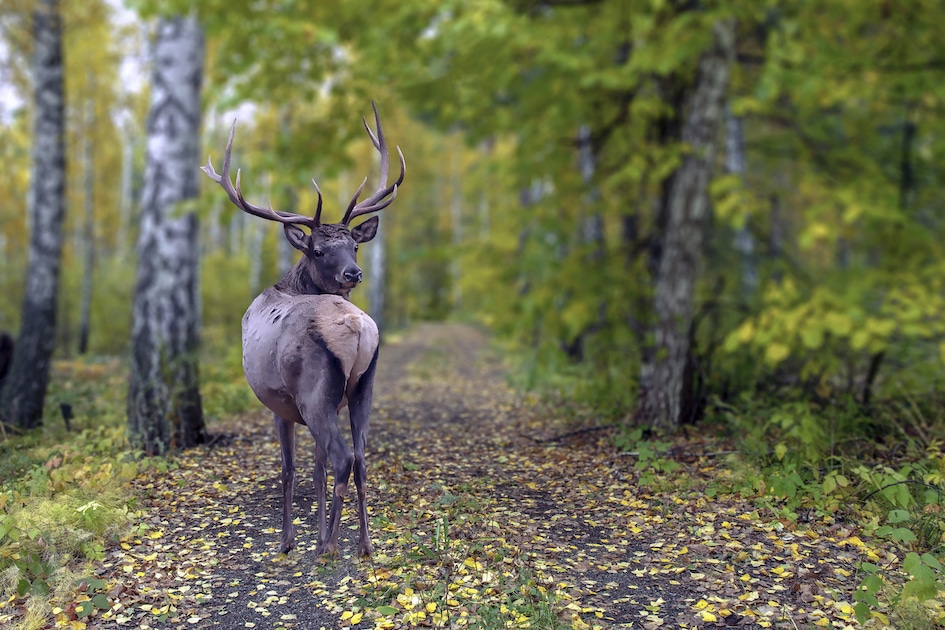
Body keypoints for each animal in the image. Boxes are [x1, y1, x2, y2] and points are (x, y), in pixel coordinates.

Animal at [201, 103, 404, 558]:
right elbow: (316, 467)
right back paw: (364, 544)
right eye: (319, 249)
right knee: (362, 457)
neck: (285, 285)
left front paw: (288, 541)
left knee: (344, 457)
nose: (354, 272)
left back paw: (328, 546)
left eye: (355, 245)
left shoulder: (279, 404)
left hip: (314, 391)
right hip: (364, 386)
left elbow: (291, 468)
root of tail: (356, 325)